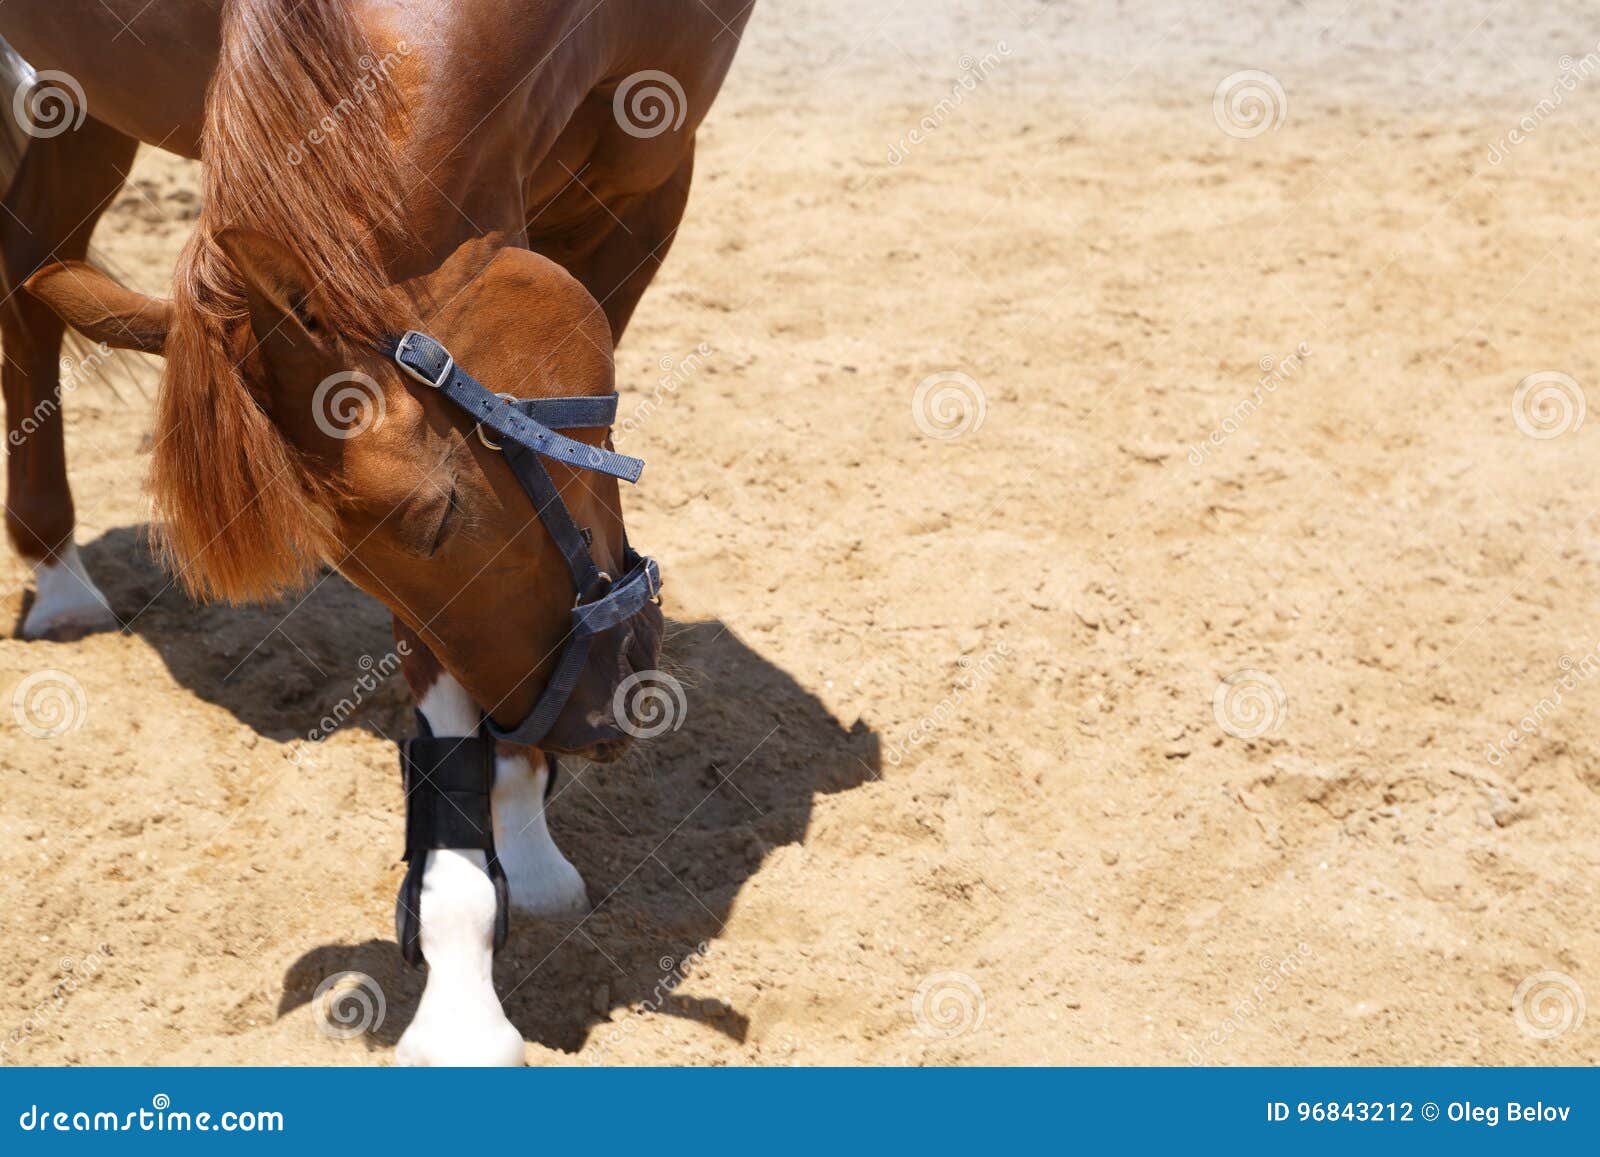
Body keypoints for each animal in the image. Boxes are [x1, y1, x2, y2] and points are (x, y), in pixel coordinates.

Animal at [0, 0, 752, 1064]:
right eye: (417, 532)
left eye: (440, 516)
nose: (586, 723)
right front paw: (465, 1006)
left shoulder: (645, 182)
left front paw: (528, 841)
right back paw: (59, 579)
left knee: (25, 269)